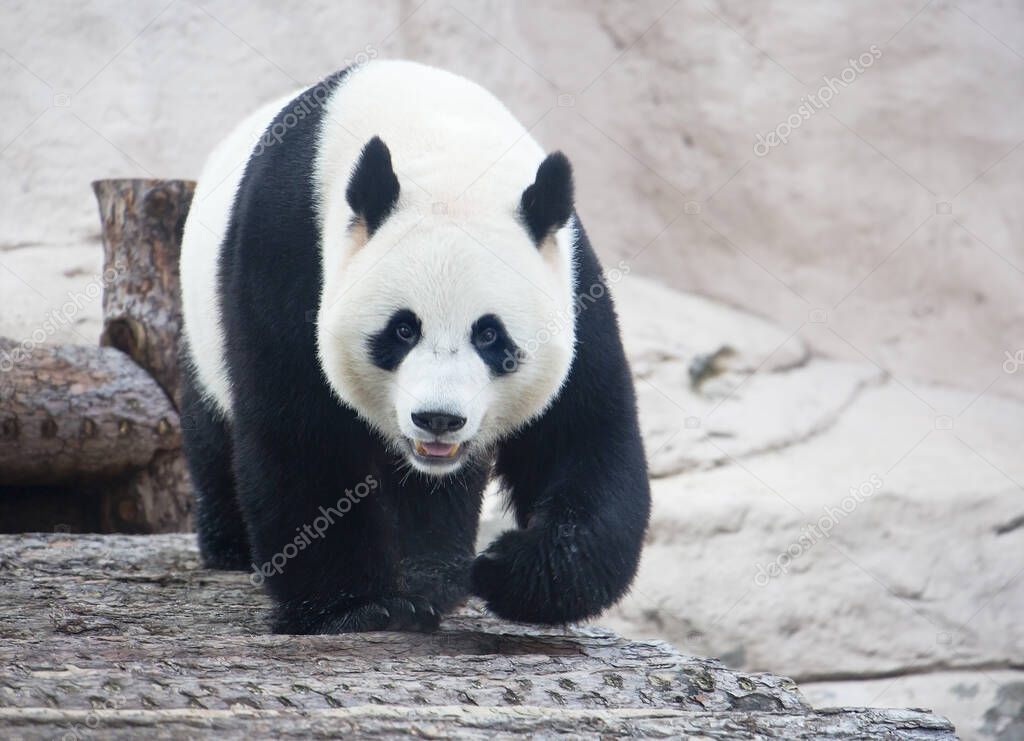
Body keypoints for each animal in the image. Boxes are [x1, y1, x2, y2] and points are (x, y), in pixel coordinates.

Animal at [179, 60, 650, 633]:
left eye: (490, 335)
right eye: (402, 331)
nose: (438, 419)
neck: (441, 140)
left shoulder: (571, 277)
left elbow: (583, 431)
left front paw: (503, 570)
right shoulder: (289, 249)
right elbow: (302, 429)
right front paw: (358, 605)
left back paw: (436, 577)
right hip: (201, 326)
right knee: (211, 421)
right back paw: (232, 546)